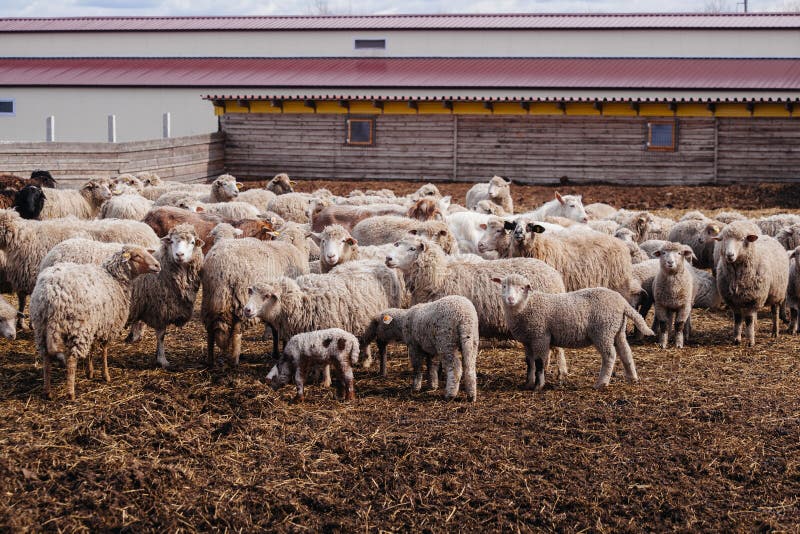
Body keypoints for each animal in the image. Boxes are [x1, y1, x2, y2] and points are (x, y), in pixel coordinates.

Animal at [30, 246, 161, 400]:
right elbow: (104, 350)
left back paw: (48, 391)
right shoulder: (108, 325)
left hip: (41, 327)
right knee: (72, 359)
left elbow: (92, 348)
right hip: (78, 328)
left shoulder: (96, 324)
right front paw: (105, 375)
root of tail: (51, 293)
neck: (115, 278)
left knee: (46, 357)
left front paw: (90, 371)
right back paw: (71, 392)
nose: (157, 266)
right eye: (137, 256)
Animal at [125, 224, 204, 369]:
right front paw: (162, 360)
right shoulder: (160, 309)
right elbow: (161, 336)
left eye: (192, 242)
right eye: (171, 241)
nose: (179, 255)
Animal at [201, 222, 310, 366]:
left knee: (210, 329)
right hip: (242, 298)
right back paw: (234, 360)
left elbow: (274, 329)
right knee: (236, 331)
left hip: (210, 297)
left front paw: (275, 353)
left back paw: (210, 360)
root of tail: (222, 267)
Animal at [492, 274, 648, 390]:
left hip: (603, 331)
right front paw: (528, 383)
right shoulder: (528, 341)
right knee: (625, 352)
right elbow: (530, 363)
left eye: (522, 288)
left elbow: (539, 363)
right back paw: (632, 378)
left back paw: (601, 383)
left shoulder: (540, 337)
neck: (527, 306)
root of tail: (622, 302)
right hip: (617, 330)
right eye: (504, 286)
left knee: (610, 356)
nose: (510, 299)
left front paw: (538, 385)